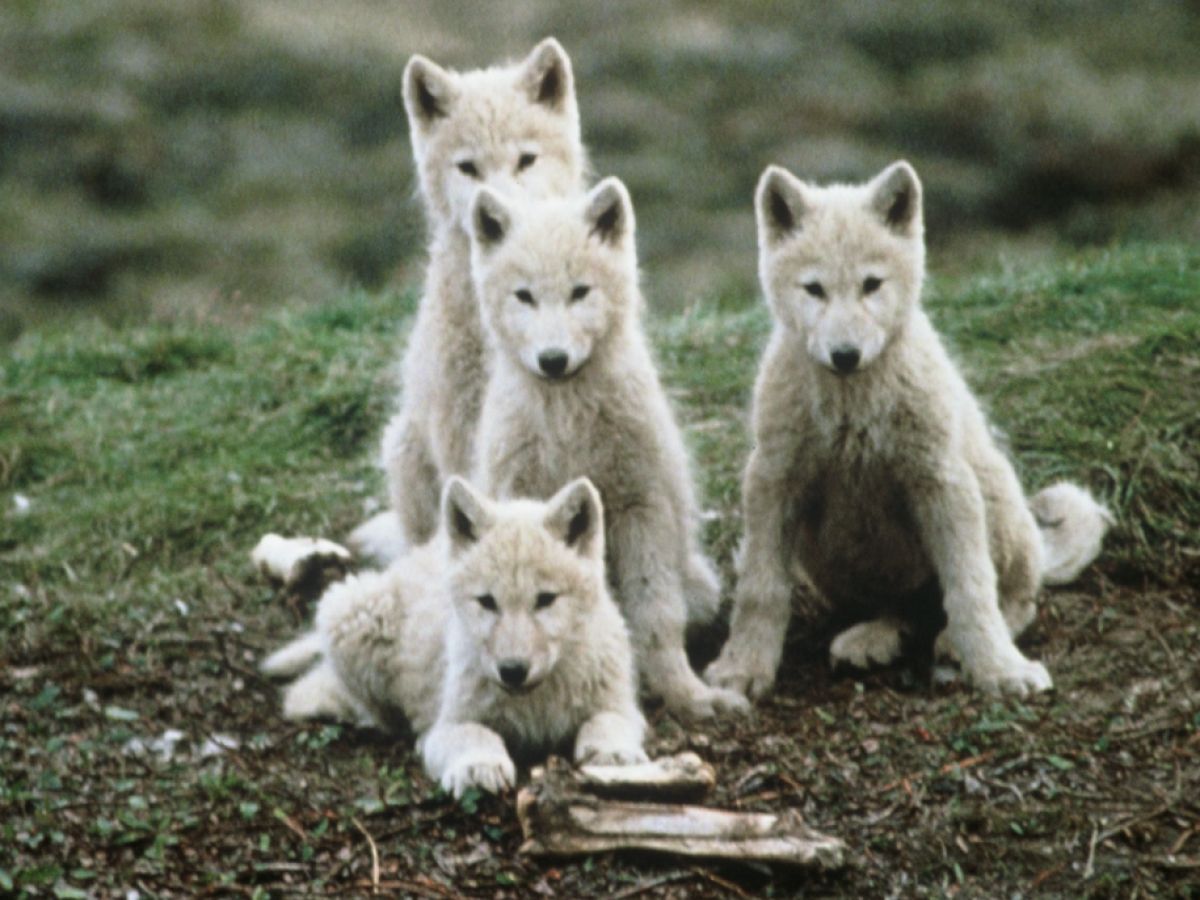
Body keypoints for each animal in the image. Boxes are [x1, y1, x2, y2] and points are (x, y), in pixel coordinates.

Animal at [262, 477, 647, 797]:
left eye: (545, 600)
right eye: (487, 602)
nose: (512, 671)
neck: (535, 702)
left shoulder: (623, 708)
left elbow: (605, 722)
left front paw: (611, 754)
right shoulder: (452, 720)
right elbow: (474, 734)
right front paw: (478, 765)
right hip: (349, 612)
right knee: (379, 714)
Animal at [464, 177, 749, 720]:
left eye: (580, 291)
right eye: (524, 296)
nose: (553, 360)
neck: (568, 423)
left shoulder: (641, 507)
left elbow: (656, 616)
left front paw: (687, 695)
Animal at [704, 161, 1112, 701]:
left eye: (871, 285)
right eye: (814, 289)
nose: (845, 355)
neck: (851, 408)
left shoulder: (942, 482)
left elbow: (971, 589)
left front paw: (1000, 670)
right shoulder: (773, 480)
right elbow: (760, 589)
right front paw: (742, 668)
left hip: (993, 502)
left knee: (1012, 600)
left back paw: (959, 643)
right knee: (902, 611)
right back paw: (873, 638)